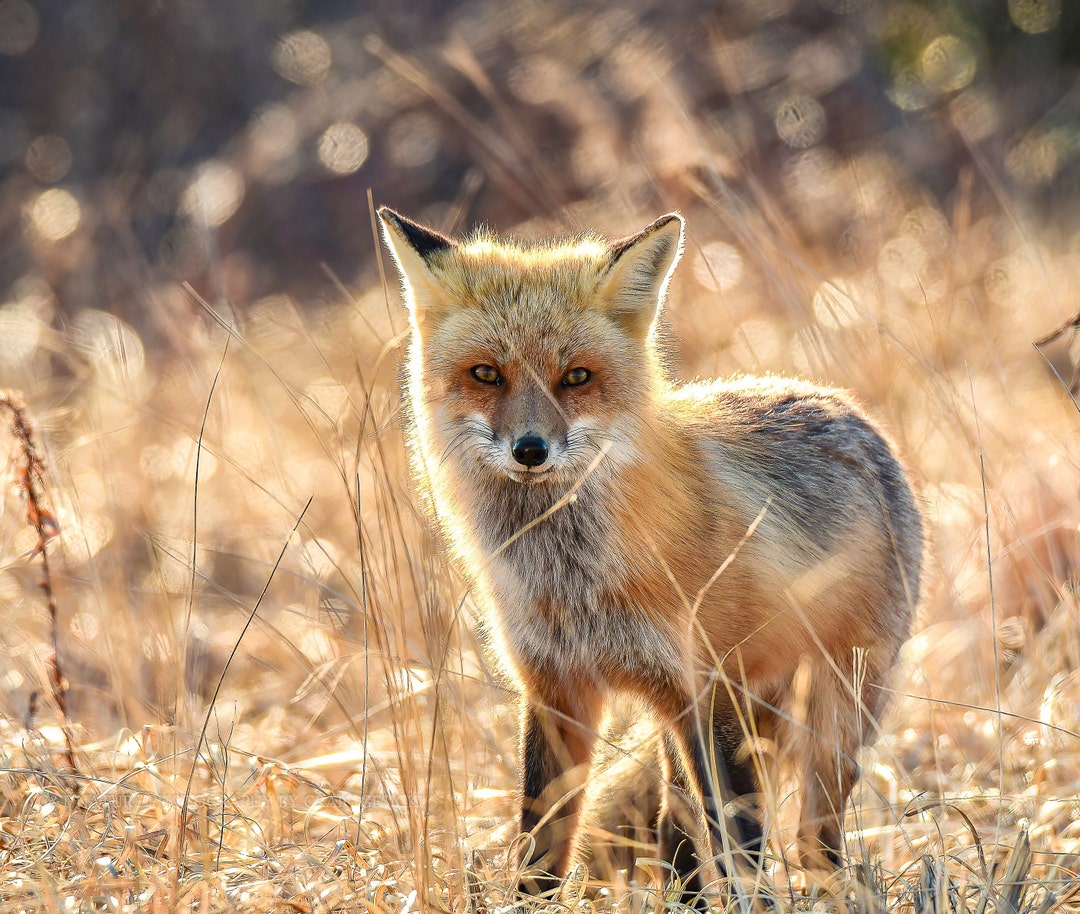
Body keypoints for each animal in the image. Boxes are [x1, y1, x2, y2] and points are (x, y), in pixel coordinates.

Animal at [378, 207, 923, 906]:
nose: (531, 449)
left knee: (808, 842)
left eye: (576, 377)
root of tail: (841, 404)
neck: (573, 580)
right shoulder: (556, 686)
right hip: (681, 722)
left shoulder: (712, 690)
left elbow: (741, 847)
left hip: (831, 717)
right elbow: (540, 847)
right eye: (486, 374)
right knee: (675, 828)